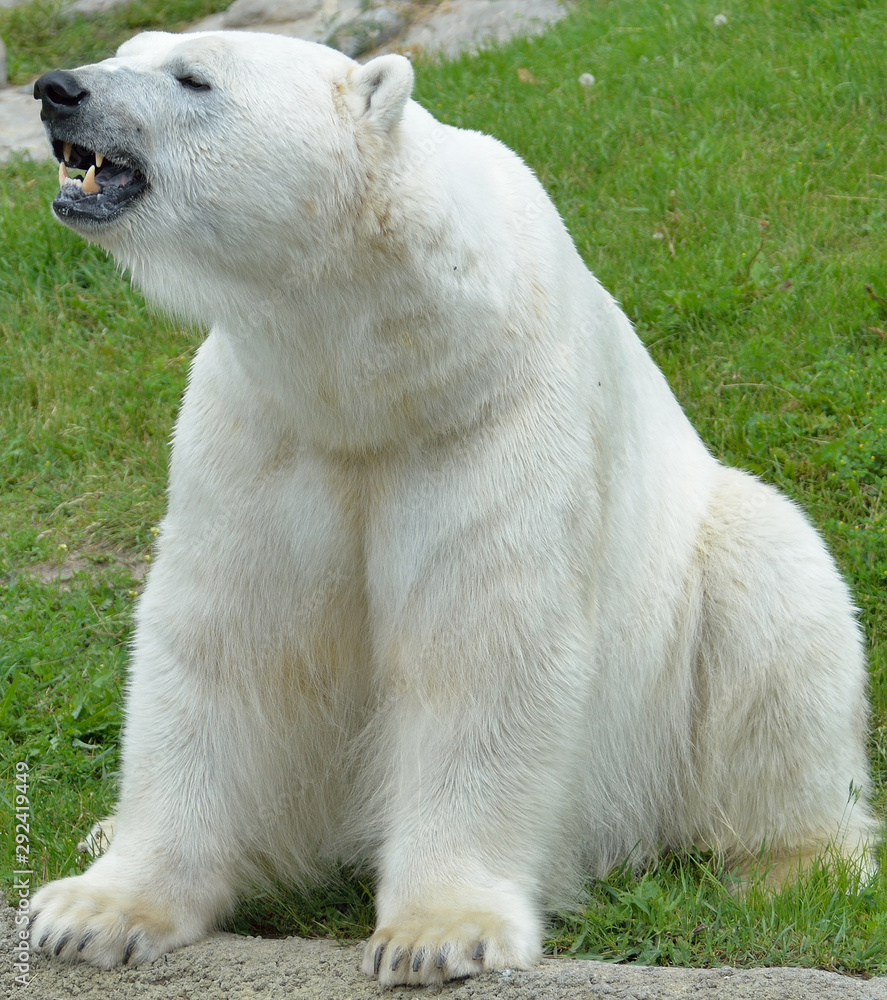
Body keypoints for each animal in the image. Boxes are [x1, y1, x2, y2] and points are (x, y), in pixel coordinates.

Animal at [30, 29, 878, 987]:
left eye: (194, 77)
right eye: (126, 49)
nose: (58, 90)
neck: (384, 369)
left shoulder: (492, 417)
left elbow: (481, 645)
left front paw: (437, 934)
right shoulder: (262, 425)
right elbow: (224, 641)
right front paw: (89, 913)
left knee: (780, 610)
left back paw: (797, 865)